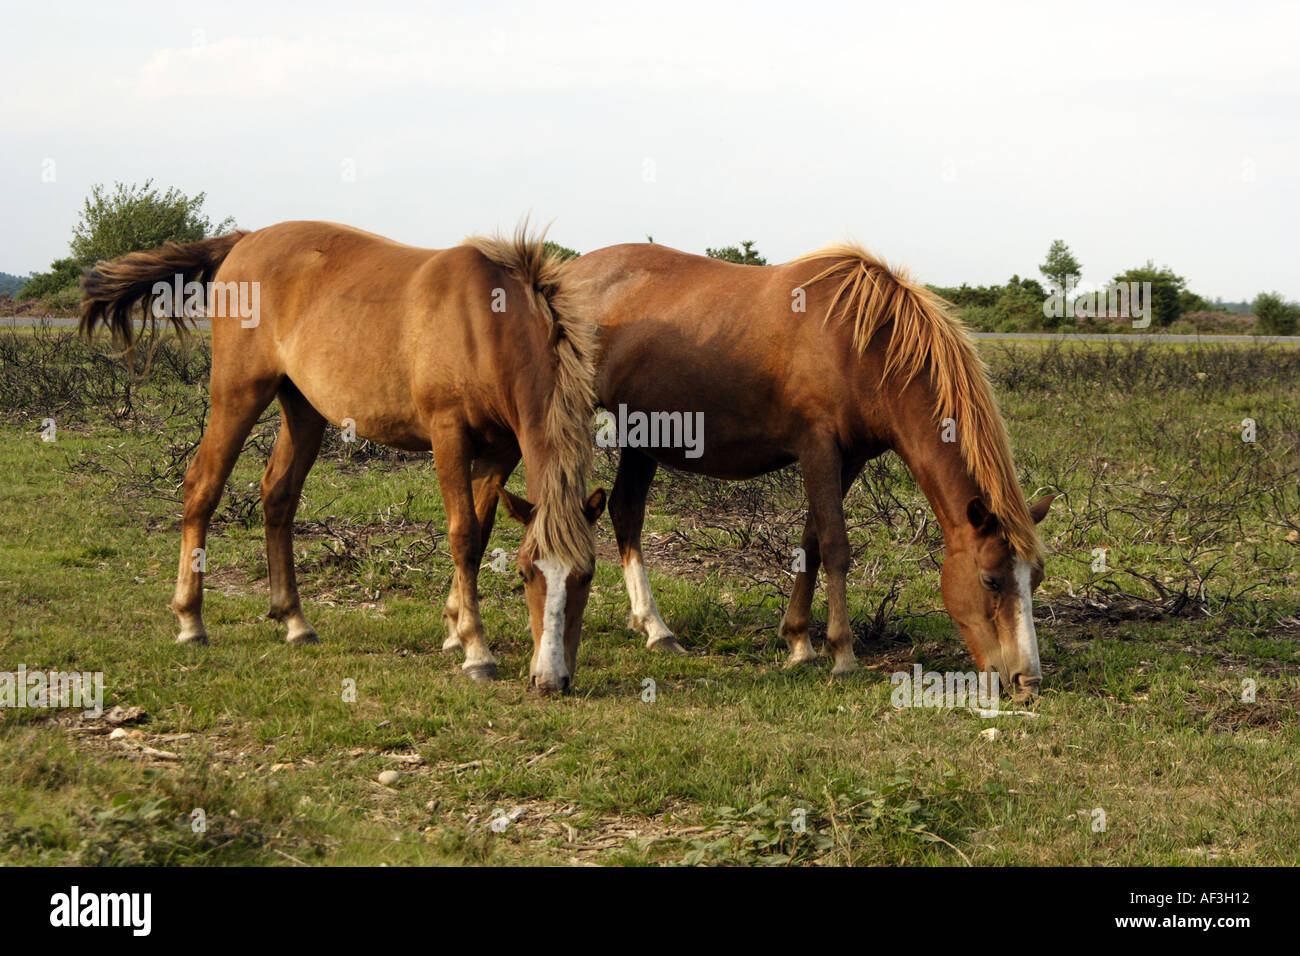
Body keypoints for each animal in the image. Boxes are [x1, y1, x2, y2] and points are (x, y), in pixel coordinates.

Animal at [80, 221, 606, 694]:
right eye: (525, 573)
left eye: (586, 575)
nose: (551, 680)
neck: (487, 324)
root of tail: (245, 239)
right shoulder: (449, 437)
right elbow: (464, 536)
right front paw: (476, 649)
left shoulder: (501, 452)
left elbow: (482, 531)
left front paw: (455, 628)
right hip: (238, 392)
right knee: (202, 487)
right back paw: (191, 620)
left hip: (303, 410)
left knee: (278, 497)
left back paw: (294, 620)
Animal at [454, 241, 1055, 700]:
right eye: (990, 580)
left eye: (1036, 578)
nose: (1027, 681)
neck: (865, 345)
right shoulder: (818, 447)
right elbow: (835, 546)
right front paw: (841, 653)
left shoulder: (848, 459)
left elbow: (811, 542)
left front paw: (798, 641)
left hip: (642, 435)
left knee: (624, 514)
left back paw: (652, 629)